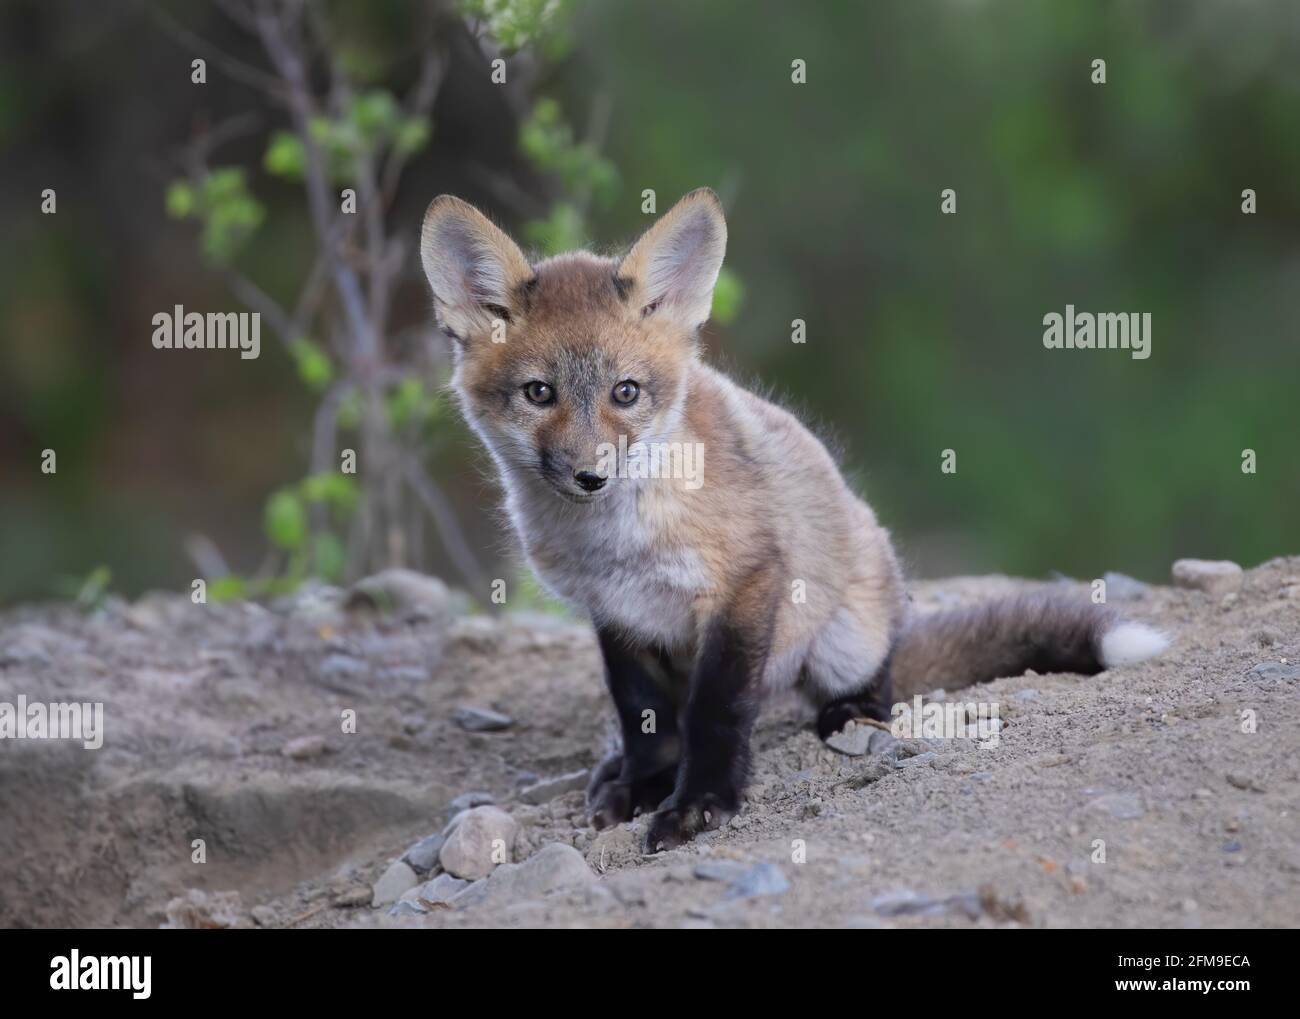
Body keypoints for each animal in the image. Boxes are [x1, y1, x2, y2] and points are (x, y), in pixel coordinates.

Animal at [419, 188, 1170, 853]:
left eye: (624, 392)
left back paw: (851, 714)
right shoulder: (618, 617)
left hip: (846, 637)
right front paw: (642, 784)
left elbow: (715, 712)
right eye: (538, 393)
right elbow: (644, 718)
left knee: (879, 684)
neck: (618, 545)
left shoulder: (748, 582)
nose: (590, 476)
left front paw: (699, 804)